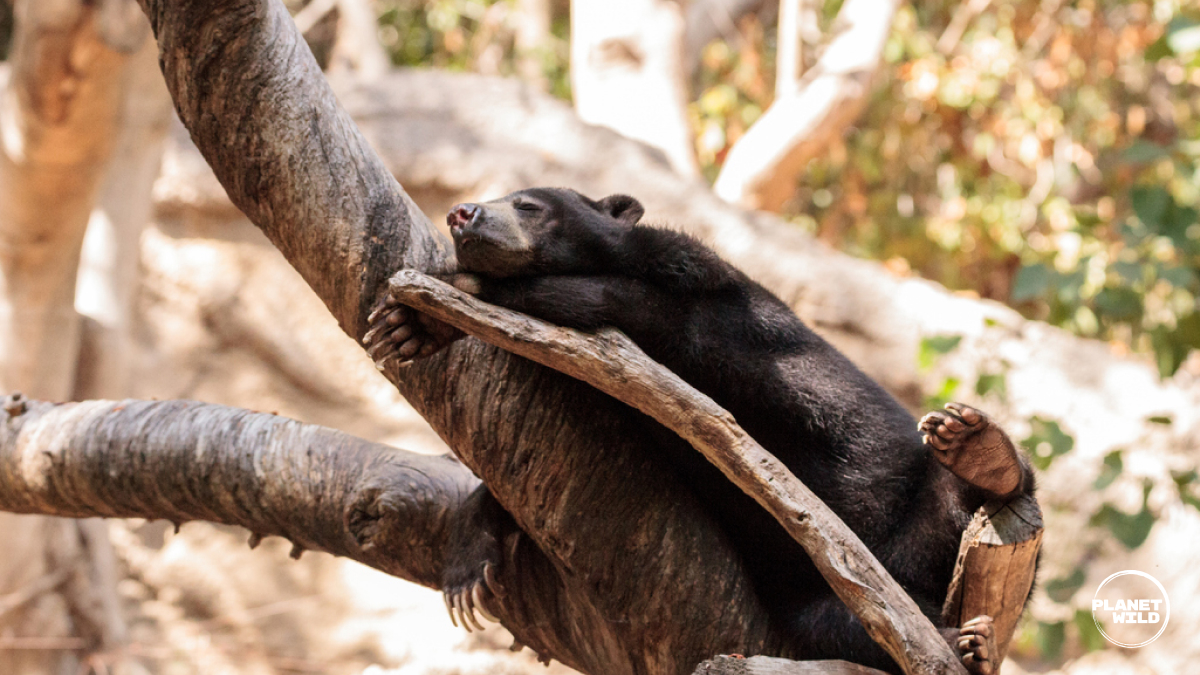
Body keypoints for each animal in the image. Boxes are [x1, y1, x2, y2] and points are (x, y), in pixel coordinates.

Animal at [364, 187, 1035, 674]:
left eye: (529, 205)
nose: (462, 213)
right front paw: (467, 571)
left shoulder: (703, 298)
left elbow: (611, 301)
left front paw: (437, 305)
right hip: (825, 597)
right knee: (848, 629)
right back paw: (962, 638)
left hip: (919, 522)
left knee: (961, 493)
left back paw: (980, 458)